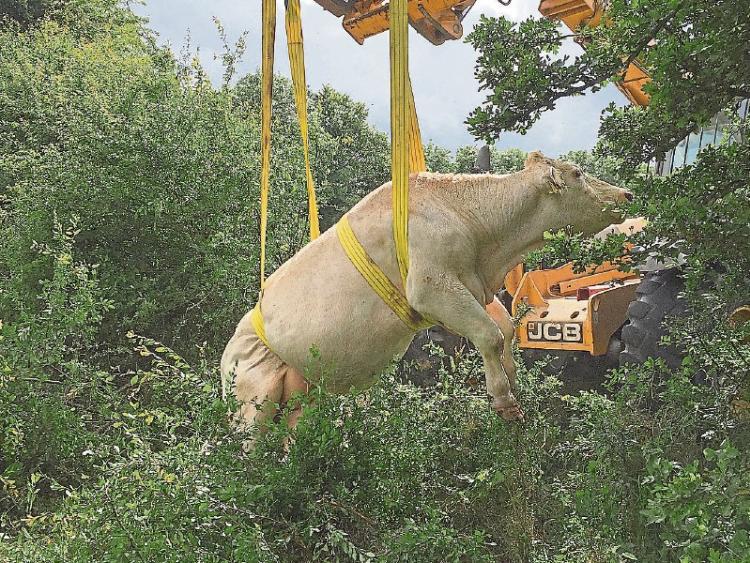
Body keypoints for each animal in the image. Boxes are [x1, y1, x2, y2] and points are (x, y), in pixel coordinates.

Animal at [221, 151, 633, 436]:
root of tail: (229, 353)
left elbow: (504, 330)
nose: (627, 193)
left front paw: (514, 383)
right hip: (251, 409)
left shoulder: (470, 286)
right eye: (577, 173)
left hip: (297, 405)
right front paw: (504, 401)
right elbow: (489, 334)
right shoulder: (432, 287)